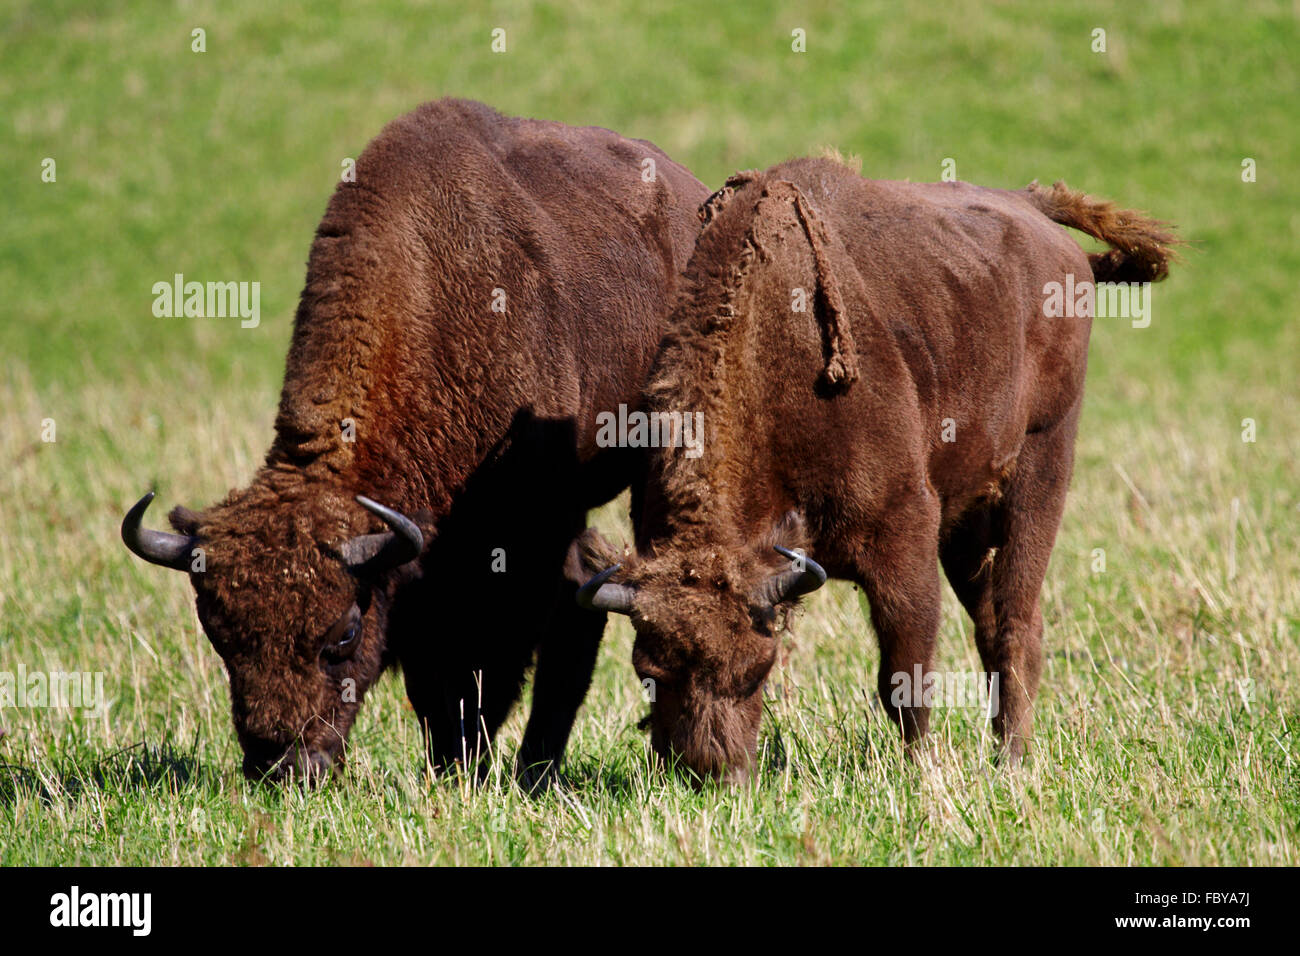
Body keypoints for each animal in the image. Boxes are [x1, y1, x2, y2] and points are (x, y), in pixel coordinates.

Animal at [123, 98, 706, 786]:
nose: (281, 765)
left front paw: (470, 765)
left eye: (342, 635)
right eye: (220, 637)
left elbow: (487, 665)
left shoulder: (521, 541)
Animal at [572, 158, 1178, 783]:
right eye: (649, 672)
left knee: (1018, 622)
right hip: (966, 523)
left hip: (1041, 467)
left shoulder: (902, 543)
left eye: (758, 668)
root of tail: (1033, 209)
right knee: (989, 621)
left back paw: (1011, 758)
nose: (712, 774)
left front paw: (919, 769)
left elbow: (904, 676)